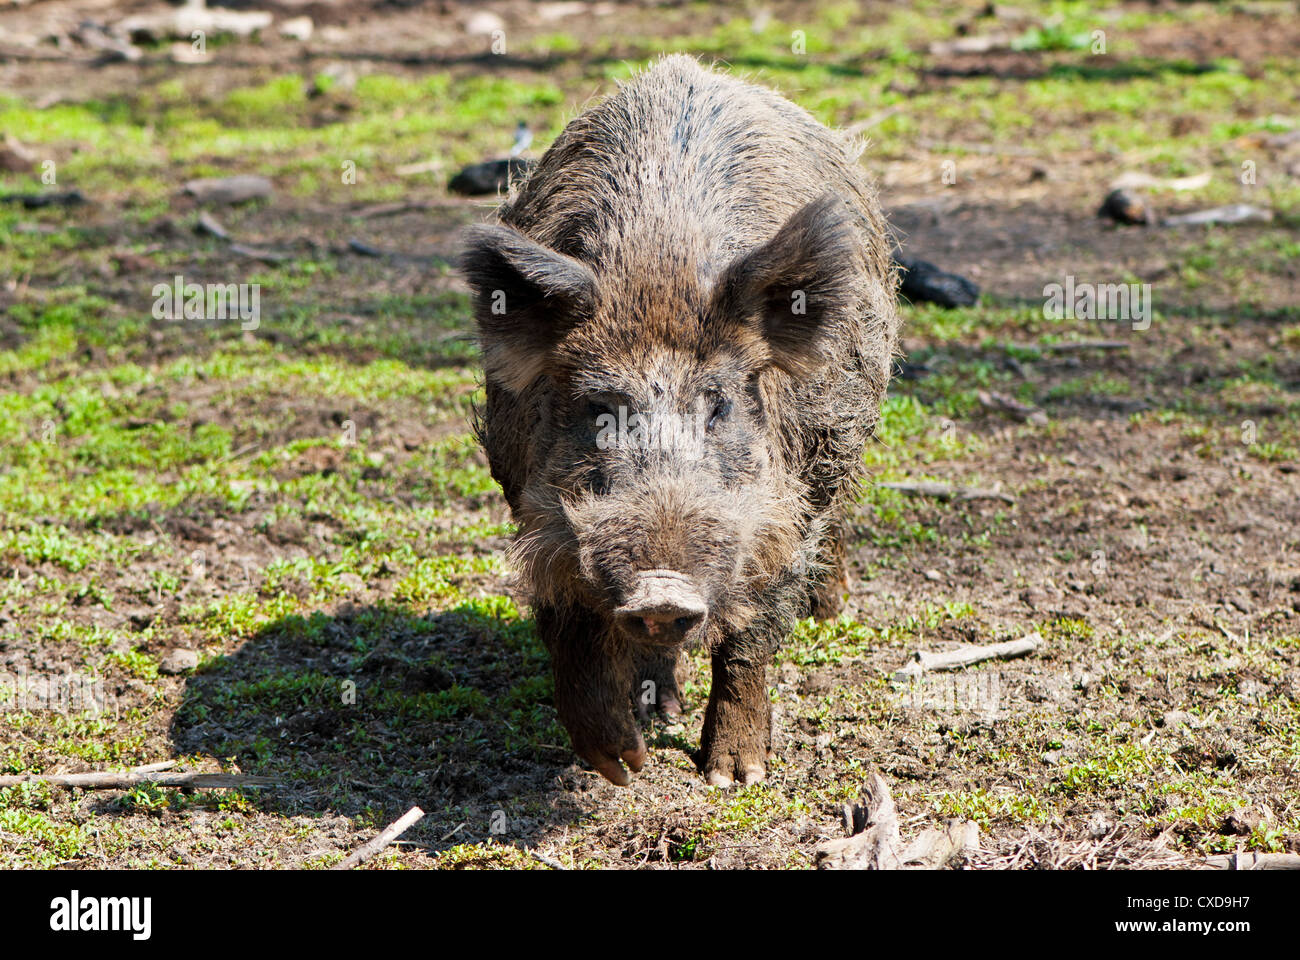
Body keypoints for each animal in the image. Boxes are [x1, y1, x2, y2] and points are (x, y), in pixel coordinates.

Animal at [460, 55, 899, 787]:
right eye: (599, 409)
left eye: (719, 404)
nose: (661, 593)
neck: (658, 270)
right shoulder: (529, 486)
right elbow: (569, 622)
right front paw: (622, 765)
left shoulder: (779, 507)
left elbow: (751, 633)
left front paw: (734, 777)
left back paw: (829, 610)